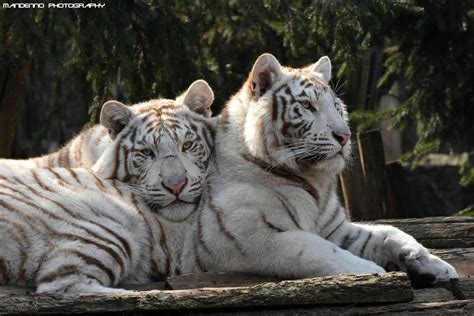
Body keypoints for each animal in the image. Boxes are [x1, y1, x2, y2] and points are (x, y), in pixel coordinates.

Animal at [190, 52, 460, 286]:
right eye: (307, 105)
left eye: (337, 107)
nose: (345, 136)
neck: (312, 180)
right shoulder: (246, 237)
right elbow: (316, 250)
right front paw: (372, 271)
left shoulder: (335, 229)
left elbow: (389, 233)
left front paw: (437, 265)